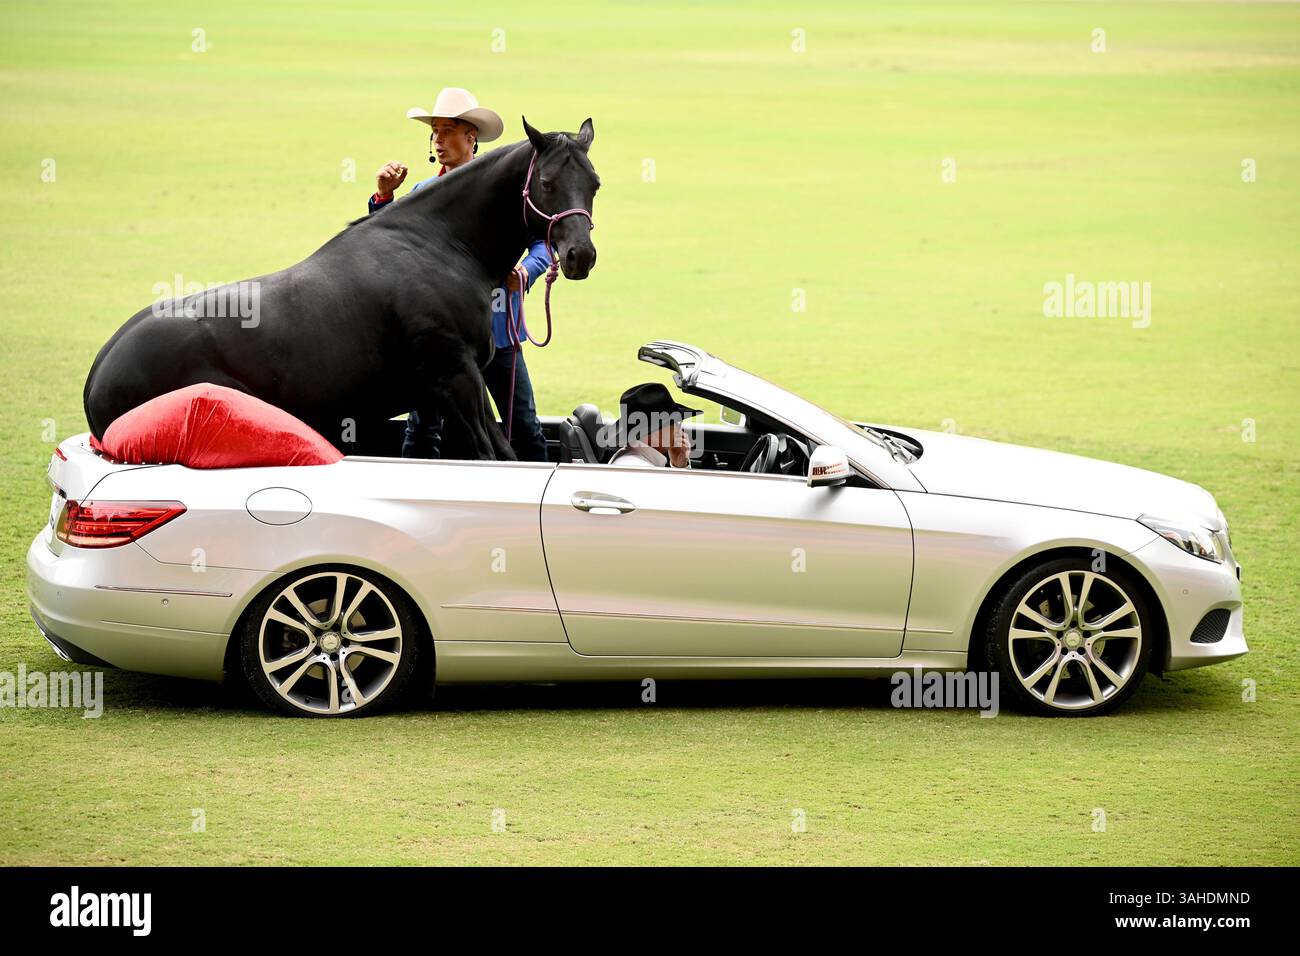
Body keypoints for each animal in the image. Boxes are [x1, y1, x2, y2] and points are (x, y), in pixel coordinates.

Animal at [83, 118, 599, 461]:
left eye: (594, 183)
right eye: (547, 182)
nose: (581, 255)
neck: (440, 244)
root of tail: (98, 376)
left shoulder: (448, 389)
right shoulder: (457, 378)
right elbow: (497, 456)